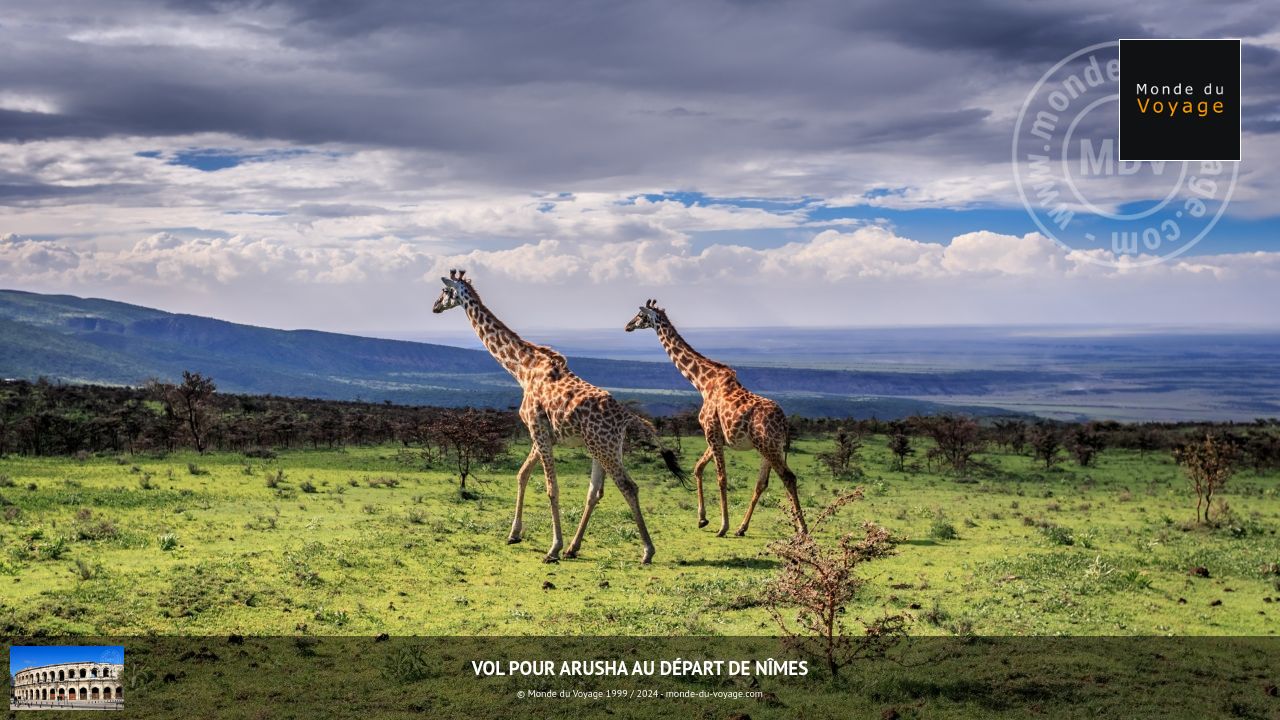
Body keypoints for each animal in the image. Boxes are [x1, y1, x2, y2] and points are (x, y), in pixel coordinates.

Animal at [432, 269, 691, 561]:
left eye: (444, 291)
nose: (435, 307)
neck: (522, 369)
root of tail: (626, 416)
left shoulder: (537, 429)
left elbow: (551, 488)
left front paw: (552, 548)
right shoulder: (543, 434)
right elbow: (522, 475)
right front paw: (514, 534)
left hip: (604, 448)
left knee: (628, 486)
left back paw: (646, 551)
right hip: (603, 447)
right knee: (595, 492)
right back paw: (573, 547)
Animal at [622, 297, 803, 532]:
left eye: (641, 315)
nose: (627, 326)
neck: (702, 383)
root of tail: (784, 423)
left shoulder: (711, 432)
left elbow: (721, 477)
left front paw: (722, 526)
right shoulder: (716, 436)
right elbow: (698, 468)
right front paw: (702, 518)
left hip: (768, 446)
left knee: (788, 477)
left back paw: (803, 530)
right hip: (770, 447)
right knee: (762, 483)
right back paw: (742, 528)